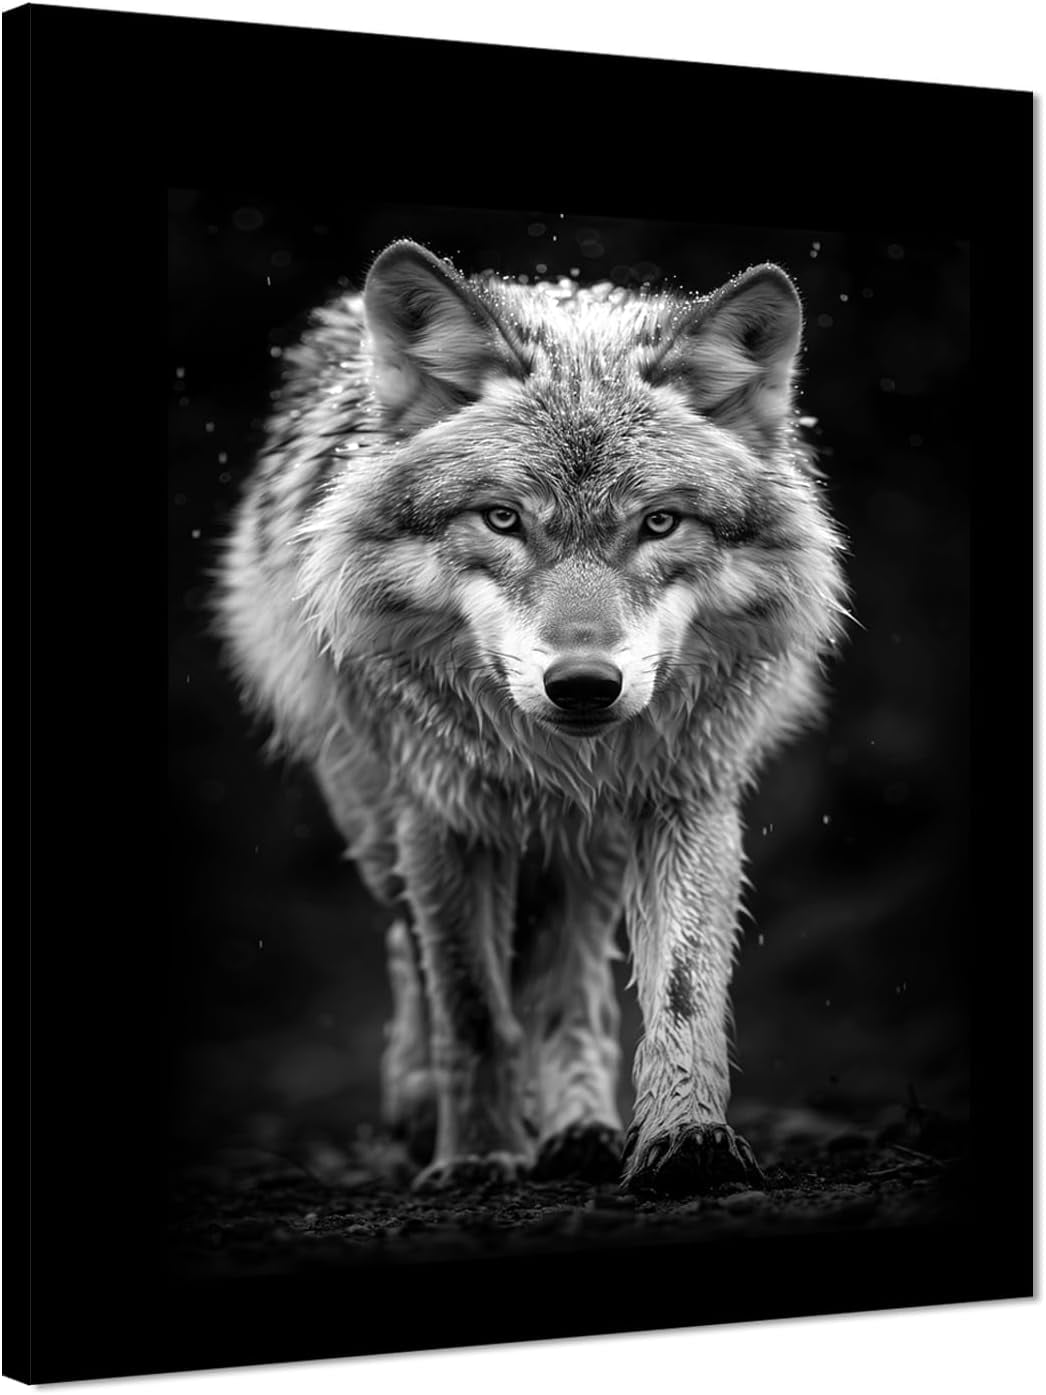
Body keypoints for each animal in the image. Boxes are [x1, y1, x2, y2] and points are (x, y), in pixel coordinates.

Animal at [216, 238, 848, 1195]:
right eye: (502, 518)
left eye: (660, 523)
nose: (583, 684)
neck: (559, 764)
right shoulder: (441, 813)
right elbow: (471, 1004)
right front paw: (477, 1154)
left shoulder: (688, 796)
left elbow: (681, 987)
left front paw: (686, 1138)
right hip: (376, 821)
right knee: (412, 952)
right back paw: (421, 1111)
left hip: (586, 849)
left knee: (570, 988)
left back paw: (580, 1129)